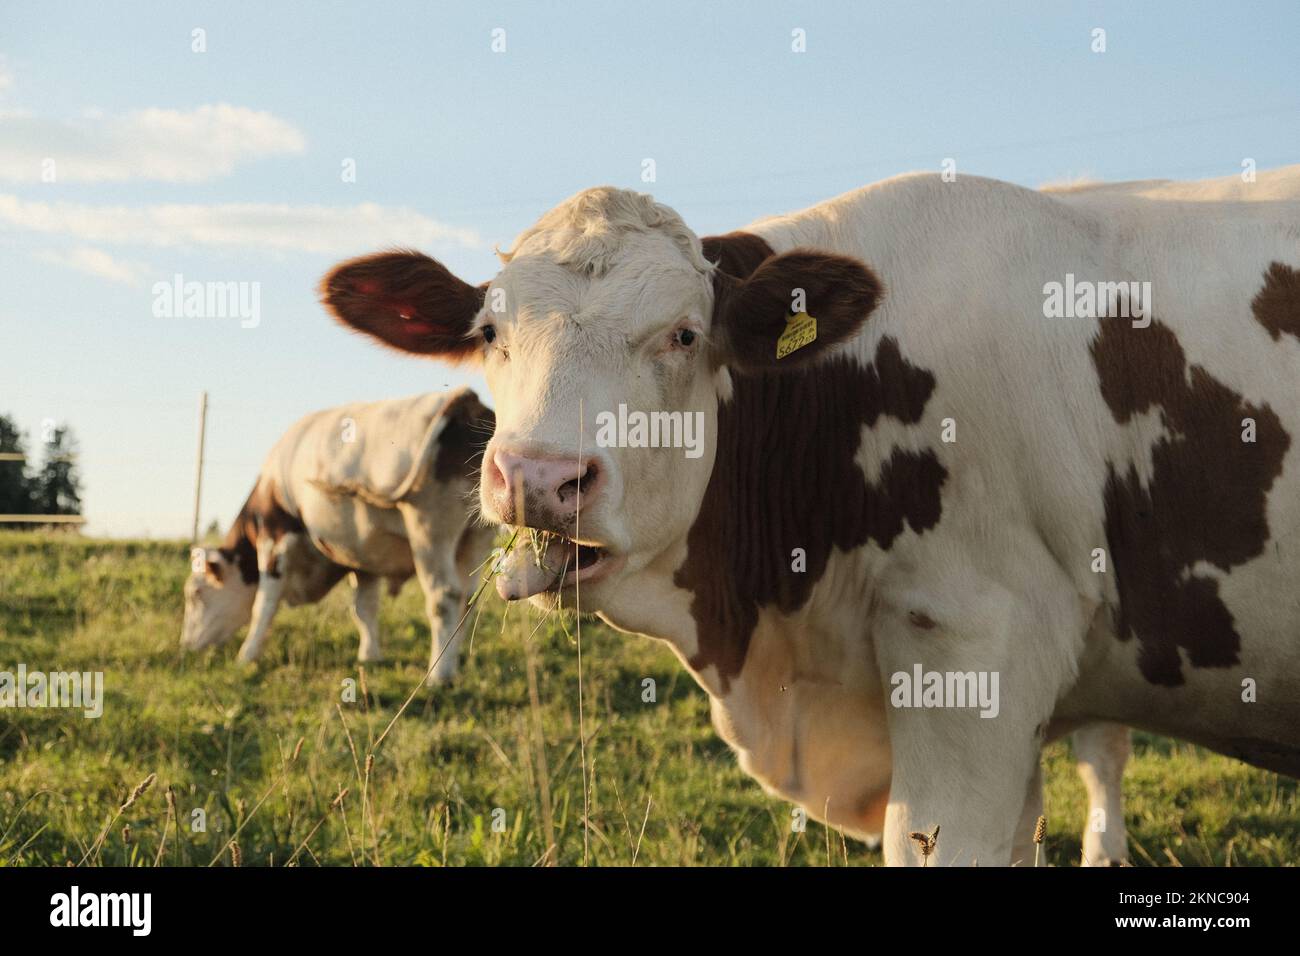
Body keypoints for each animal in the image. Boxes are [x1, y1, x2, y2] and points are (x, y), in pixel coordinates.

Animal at [181, 388, 497, 685]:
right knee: (467, 600)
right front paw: (369, 657)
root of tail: (465, 399)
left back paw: (439, 676)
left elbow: (264, 605)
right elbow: (364, 608)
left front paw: (246, 655)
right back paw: (453, 668)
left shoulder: (275, 538)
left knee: (444, 596)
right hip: (477, 536)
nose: (186, 646)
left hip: (430, 529)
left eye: (195, 593)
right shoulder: (366, 558)